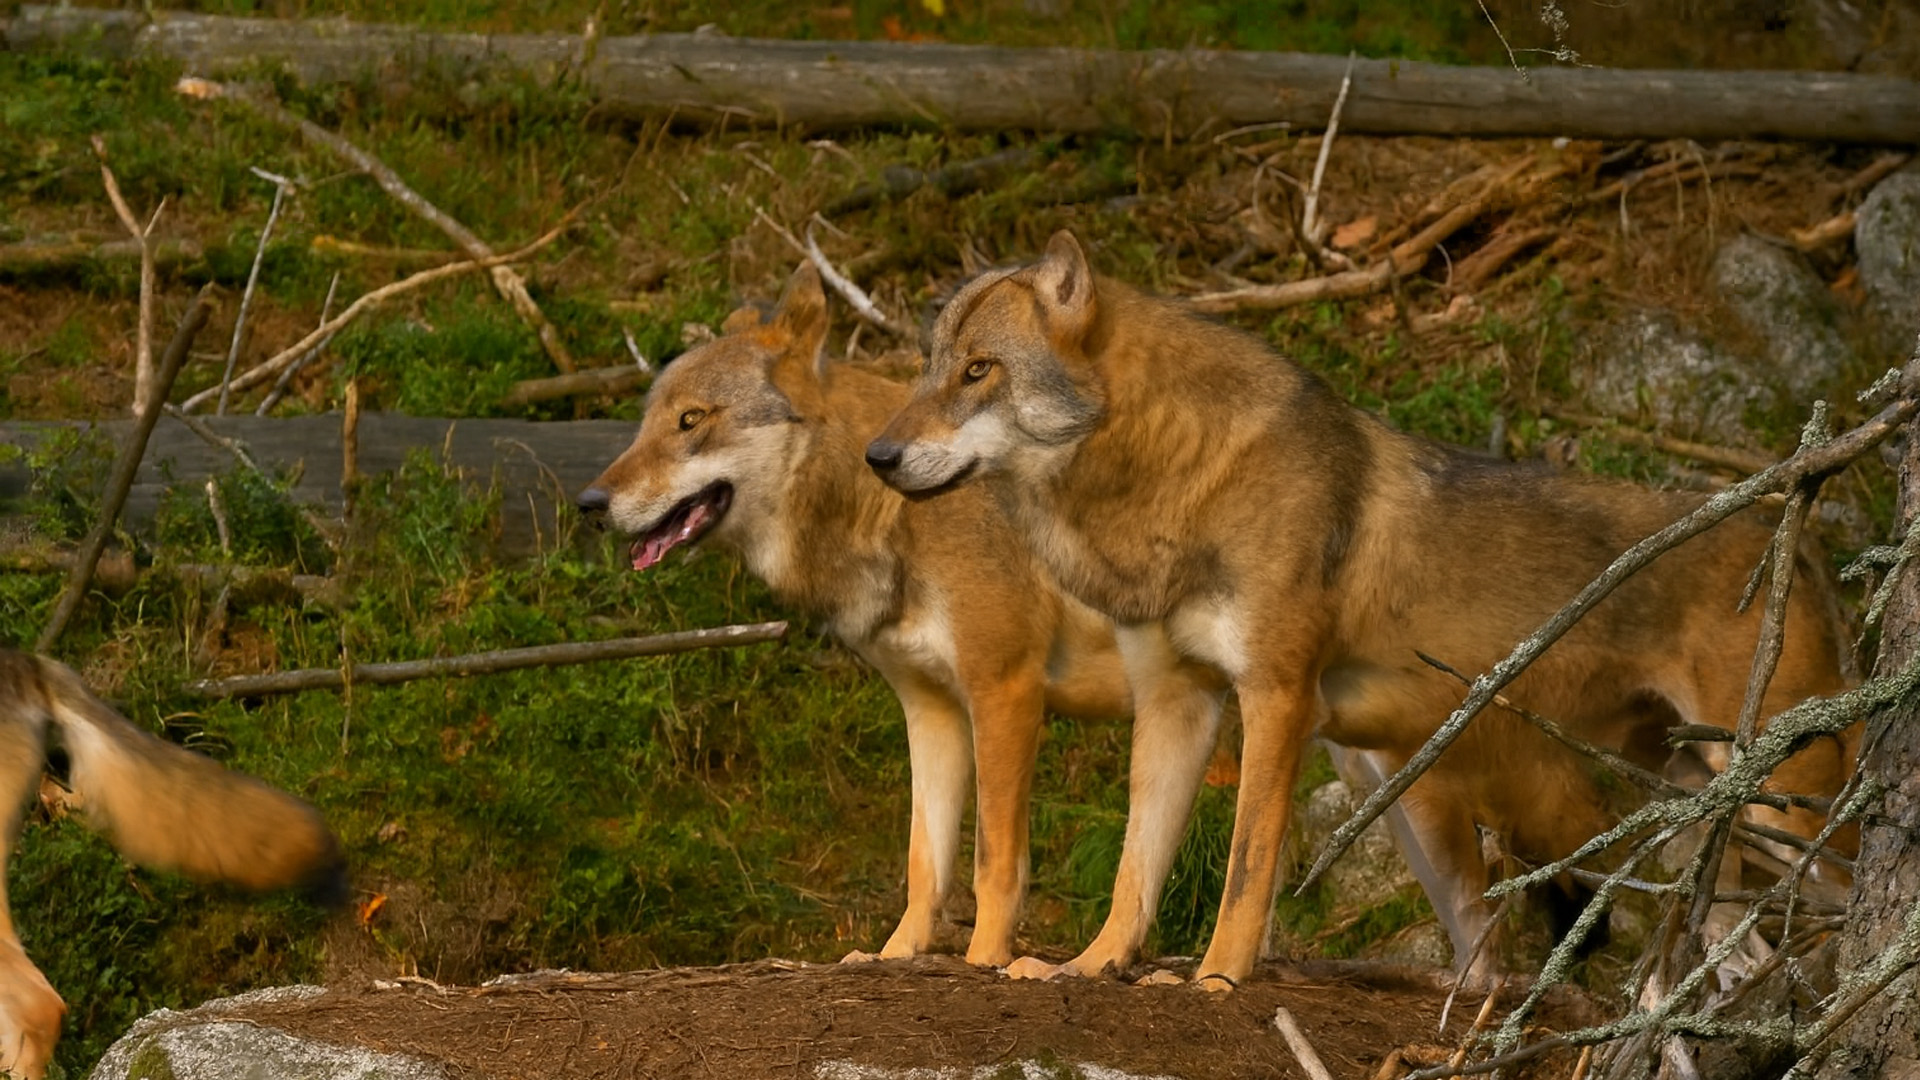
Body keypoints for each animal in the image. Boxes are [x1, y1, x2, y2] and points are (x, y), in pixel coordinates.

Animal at [576, 264, 1136, 967]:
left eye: (690, 420)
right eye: (645, 425)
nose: (588, 503)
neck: (893, 510)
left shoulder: (1003, 691)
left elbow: (994, 863)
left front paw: (985, 962)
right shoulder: (930, 707)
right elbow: (924, 866)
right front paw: (896, 957)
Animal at [865, 231, 1856, 989]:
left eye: (979, 371)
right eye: (928, 370)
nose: (878, 456)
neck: (1181, 479)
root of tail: (1797, 531)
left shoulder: (1276, 699)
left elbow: (1245, 873)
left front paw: (1216, 981)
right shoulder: (1178, 701)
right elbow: (1133, 871)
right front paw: (1090, 966)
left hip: (1780, 807)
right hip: (1668, 814)